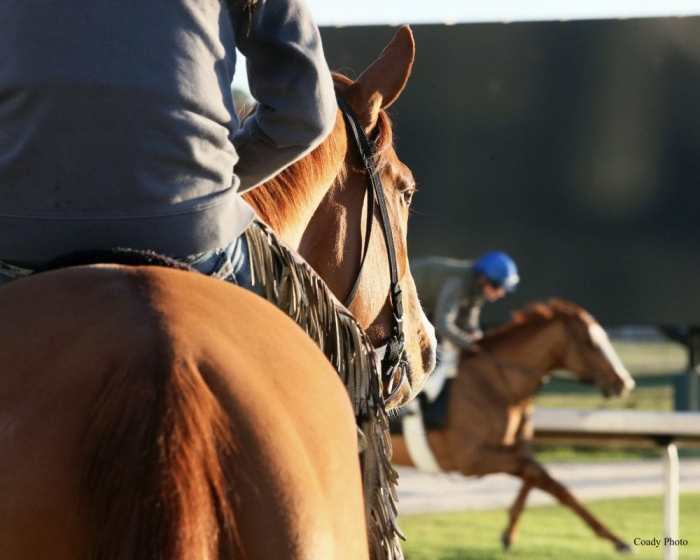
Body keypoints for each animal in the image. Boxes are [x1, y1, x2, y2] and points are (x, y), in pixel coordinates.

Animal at [391, 299, 636, 553]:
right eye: (592, 342)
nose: (624, 382)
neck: (497, 384)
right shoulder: (471, 460)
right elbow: (549, 481)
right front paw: (615, 539)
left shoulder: (514, 448)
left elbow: (535, 475)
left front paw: (508, 535)